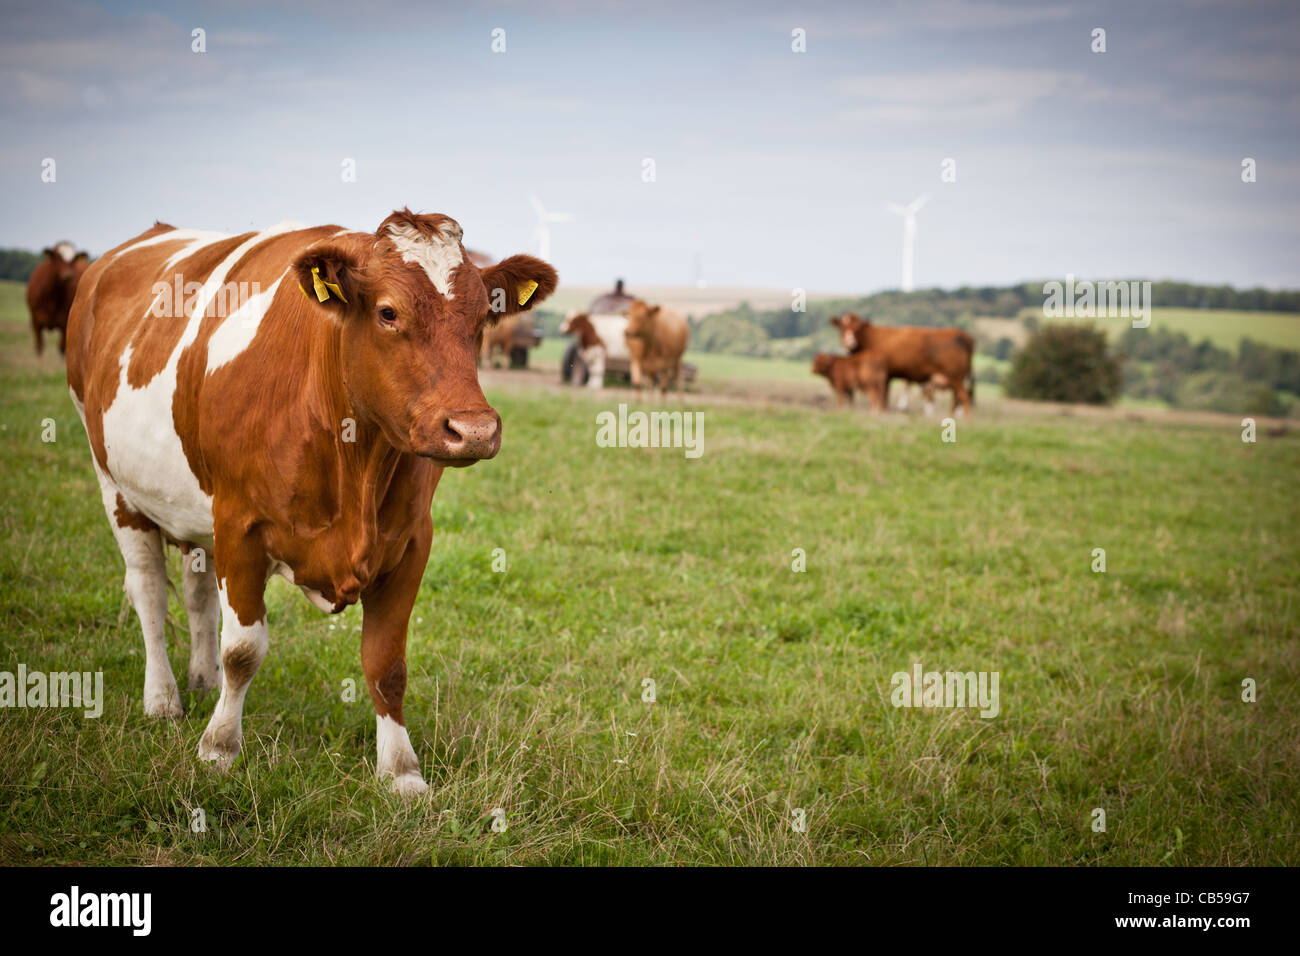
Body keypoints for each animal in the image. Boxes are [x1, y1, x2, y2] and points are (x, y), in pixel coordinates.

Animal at [65, 209, 557, 795]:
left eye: (484, 317)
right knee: (148, 592)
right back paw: (163, 697)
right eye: (388, 312)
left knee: (197, 593)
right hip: (114, 483)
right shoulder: (240, 525)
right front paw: (219, 748)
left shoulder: (412, 541)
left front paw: (402, 771)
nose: (475, 429)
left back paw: (201, 681)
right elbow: (244, 649)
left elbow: (387, 664)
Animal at [830, 313, 974, 415]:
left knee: (964, 398)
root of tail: (964, 336)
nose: (849, 342)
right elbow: (884, 397)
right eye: (842, 328)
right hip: (956, 379)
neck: (870, 338)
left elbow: (883, 396)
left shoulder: (885, 375)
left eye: (857, 328)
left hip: (955, 377)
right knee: (957, 399)